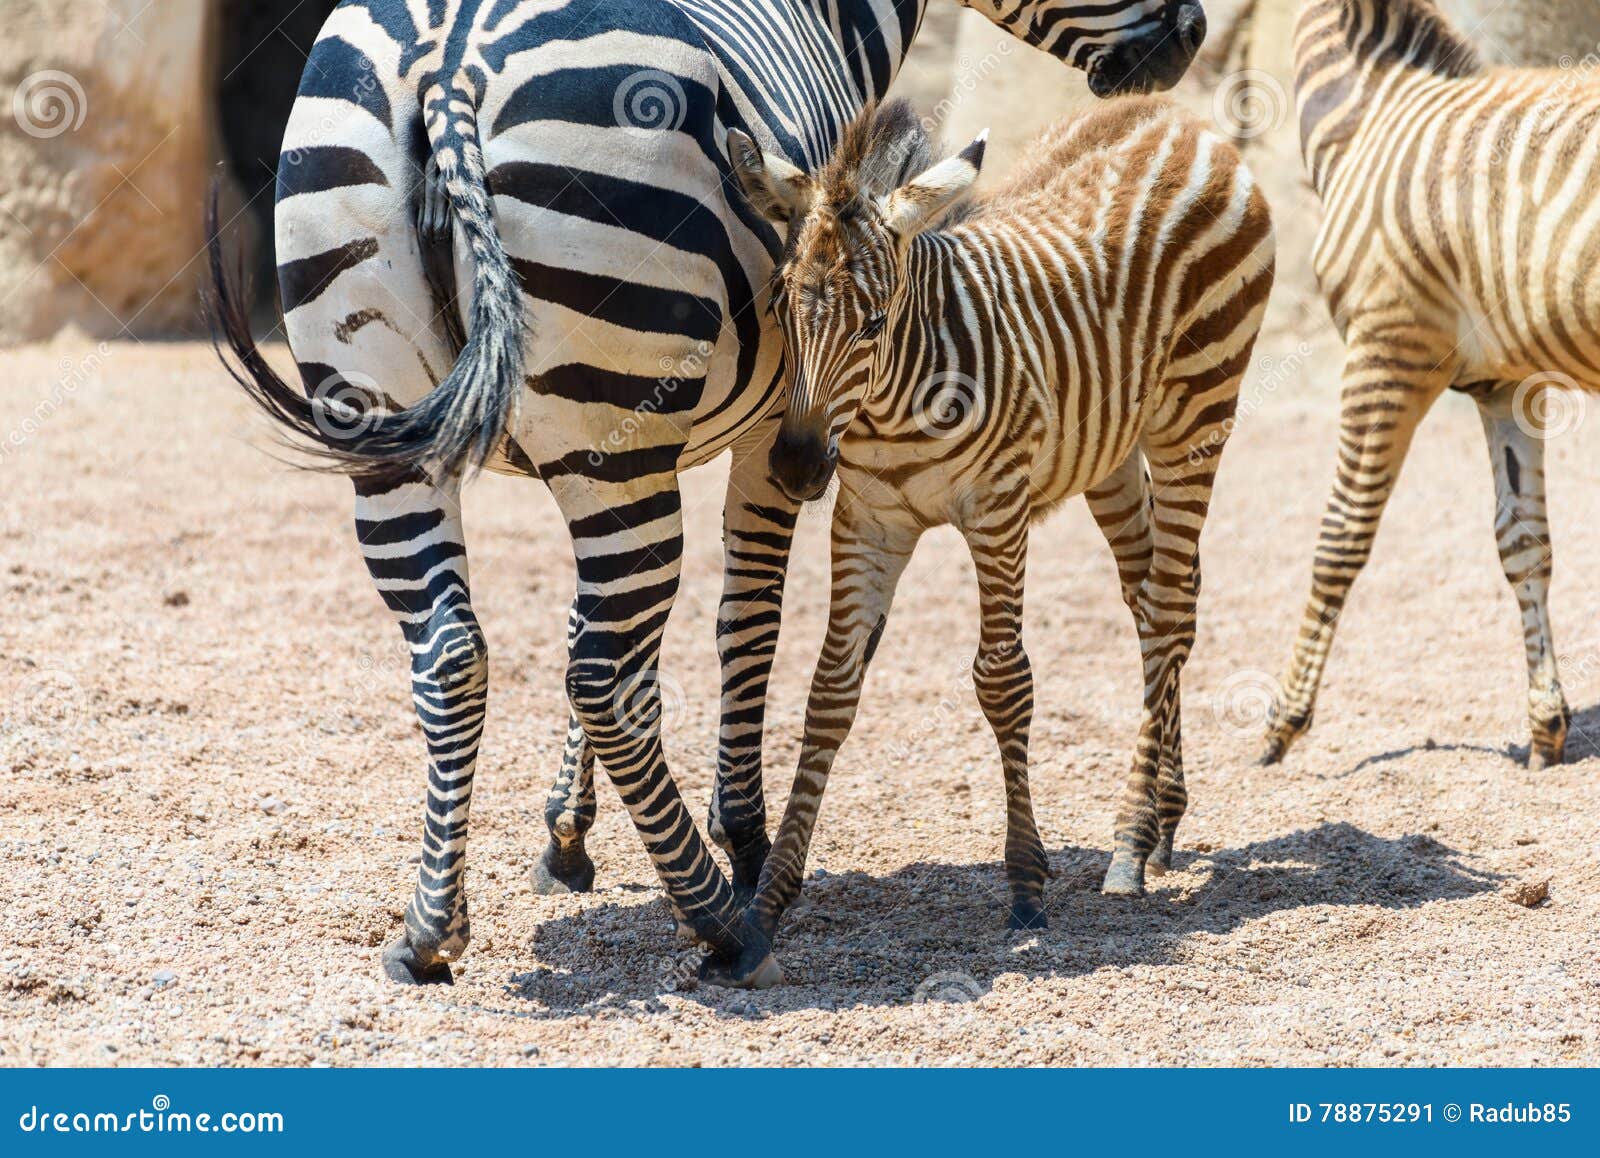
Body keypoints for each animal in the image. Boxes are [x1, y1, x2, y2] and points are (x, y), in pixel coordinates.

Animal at [207, 0, 1210, 987]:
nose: (1192, 36)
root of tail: (450, 61)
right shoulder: (768, 431)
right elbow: (746, 624)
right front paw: (751, 843)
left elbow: (599, 631)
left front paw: (567, 836)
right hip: (612, 426)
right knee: (602, 673)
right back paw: (720, 922)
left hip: (386, 423)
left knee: (455, 654)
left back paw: (429, 930)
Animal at [719, 96, 1274, 982]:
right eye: (778, 305)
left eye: (874, 321)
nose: (798, 466)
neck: (893, 406)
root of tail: (1173, 115)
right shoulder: (868, 519)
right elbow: (830, 692)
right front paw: (768, 902)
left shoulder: (998, 508)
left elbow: (1003, 682)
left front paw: (1024, 885)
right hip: (1109, 448)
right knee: (1157, 604)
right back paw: (1162, 821)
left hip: (1195, 415)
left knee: (1171, 609)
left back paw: (1128, 845)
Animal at [1262, 0, 1600, 769]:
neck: (1371, 110)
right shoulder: (1507, 386)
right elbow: (1523, 541)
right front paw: (1546, 725)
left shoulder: (1387, 349)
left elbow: (1340, 536)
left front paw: (1284, 721)